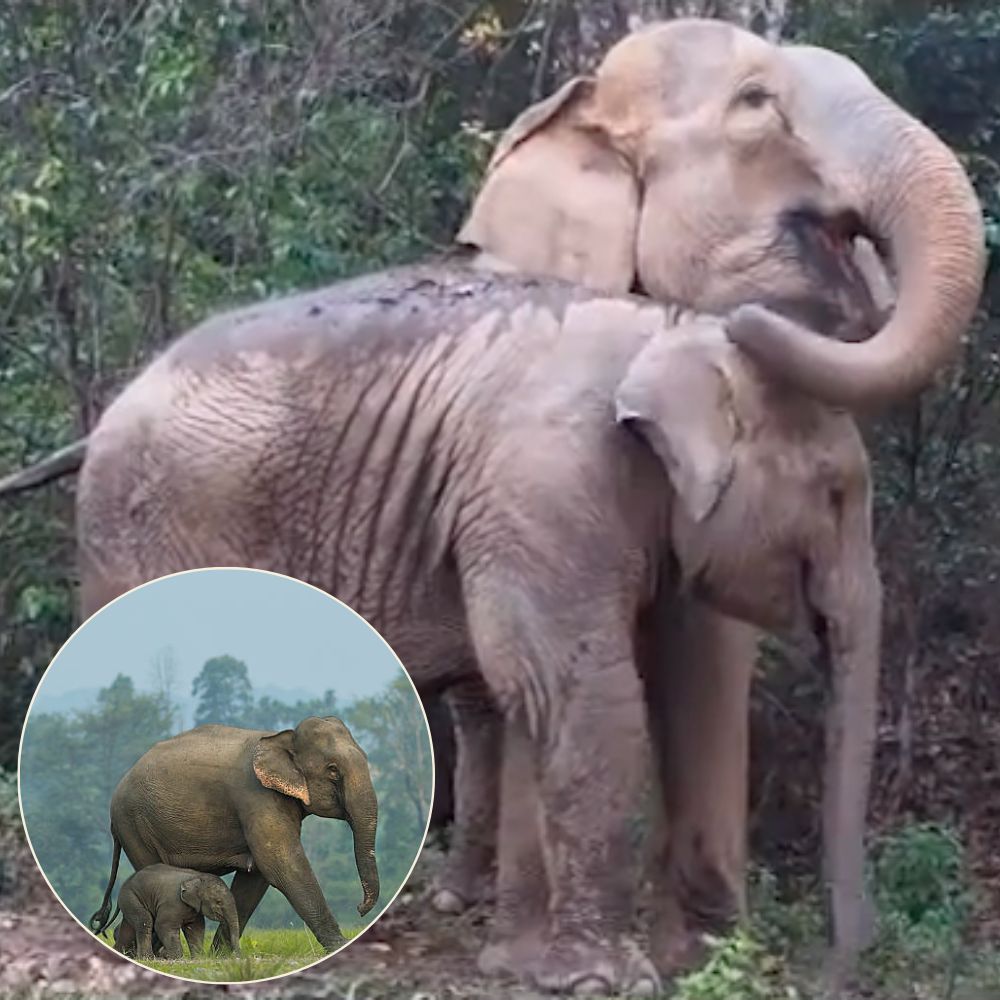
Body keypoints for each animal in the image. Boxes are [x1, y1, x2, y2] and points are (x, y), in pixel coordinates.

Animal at [107, 864, 240, 960]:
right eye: (218, 902)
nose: (236, 956)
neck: (197, 876)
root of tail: (126, 882)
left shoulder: (194, 909)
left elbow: (196, 929)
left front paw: (198, 958)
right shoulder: (173, 903)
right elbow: (163, 925)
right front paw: (171, 956)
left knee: (129, 928)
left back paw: (120, 952)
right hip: (131, 896)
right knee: (145, 920)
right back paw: (147, 958)